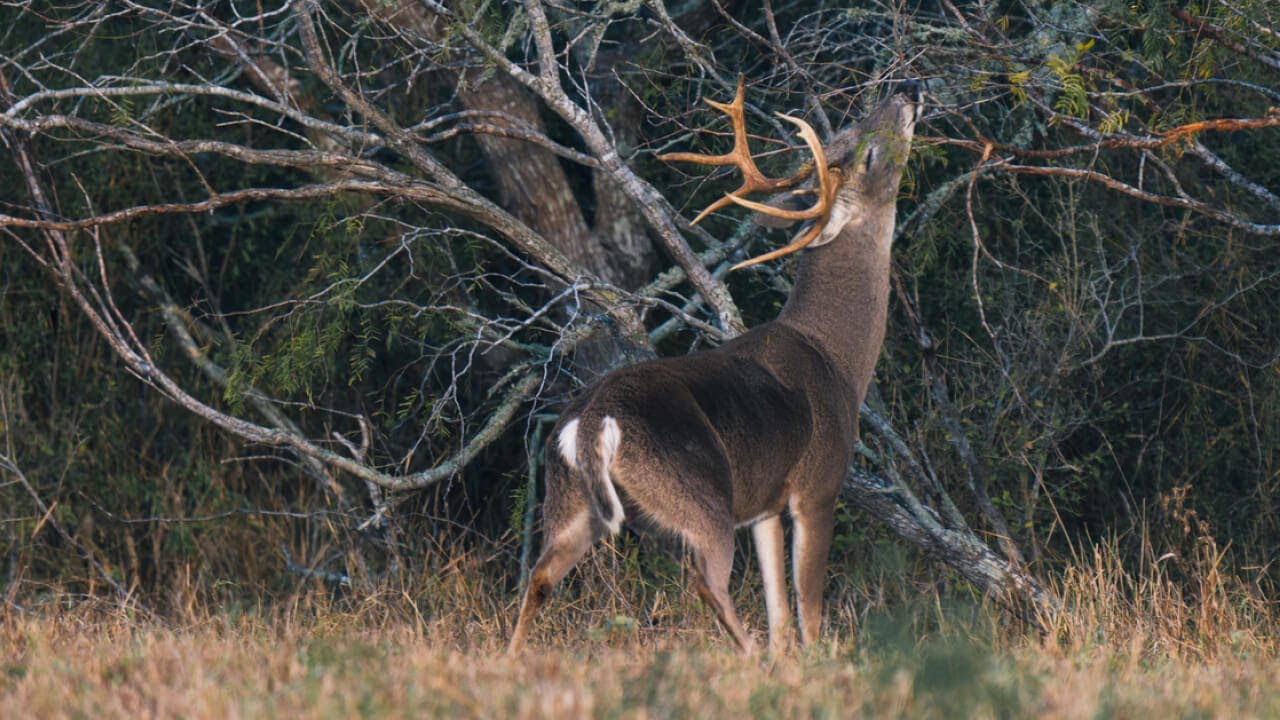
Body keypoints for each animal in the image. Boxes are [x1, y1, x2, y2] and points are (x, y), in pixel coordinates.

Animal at [508, 78, 922, 654]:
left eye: (851, 126)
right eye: (869, 153)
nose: (907, 90)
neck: (838, 360)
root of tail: (589, 420)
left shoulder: (765, 504)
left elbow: (779, 614)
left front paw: (787, 663)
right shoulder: (817, 484)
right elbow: (809, 611)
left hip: (571, 499)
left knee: (539, 575)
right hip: (697, 493)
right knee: (706, 580)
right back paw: (744, 656)